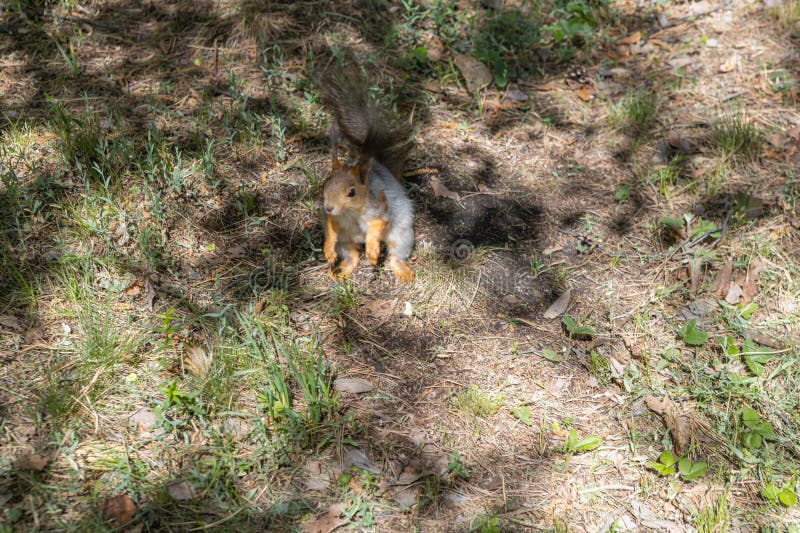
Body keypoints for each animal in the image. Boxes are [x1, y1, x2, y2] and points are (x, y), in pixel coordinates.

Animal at [319, 68, 415, 283]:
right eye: (324, 185)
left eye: (352, 192)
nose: (329, 207)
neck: (349, 213)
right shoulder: (333, 220)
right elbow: (329, 227)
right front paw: (327, 249)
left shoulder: (379, 209)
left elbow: (378, 224)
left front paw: (372, 250)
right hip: (345, 242)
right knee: (352, 256)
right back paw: (343, 271)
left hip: (402, 235)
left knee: (396, 255)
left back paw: (401, 270)